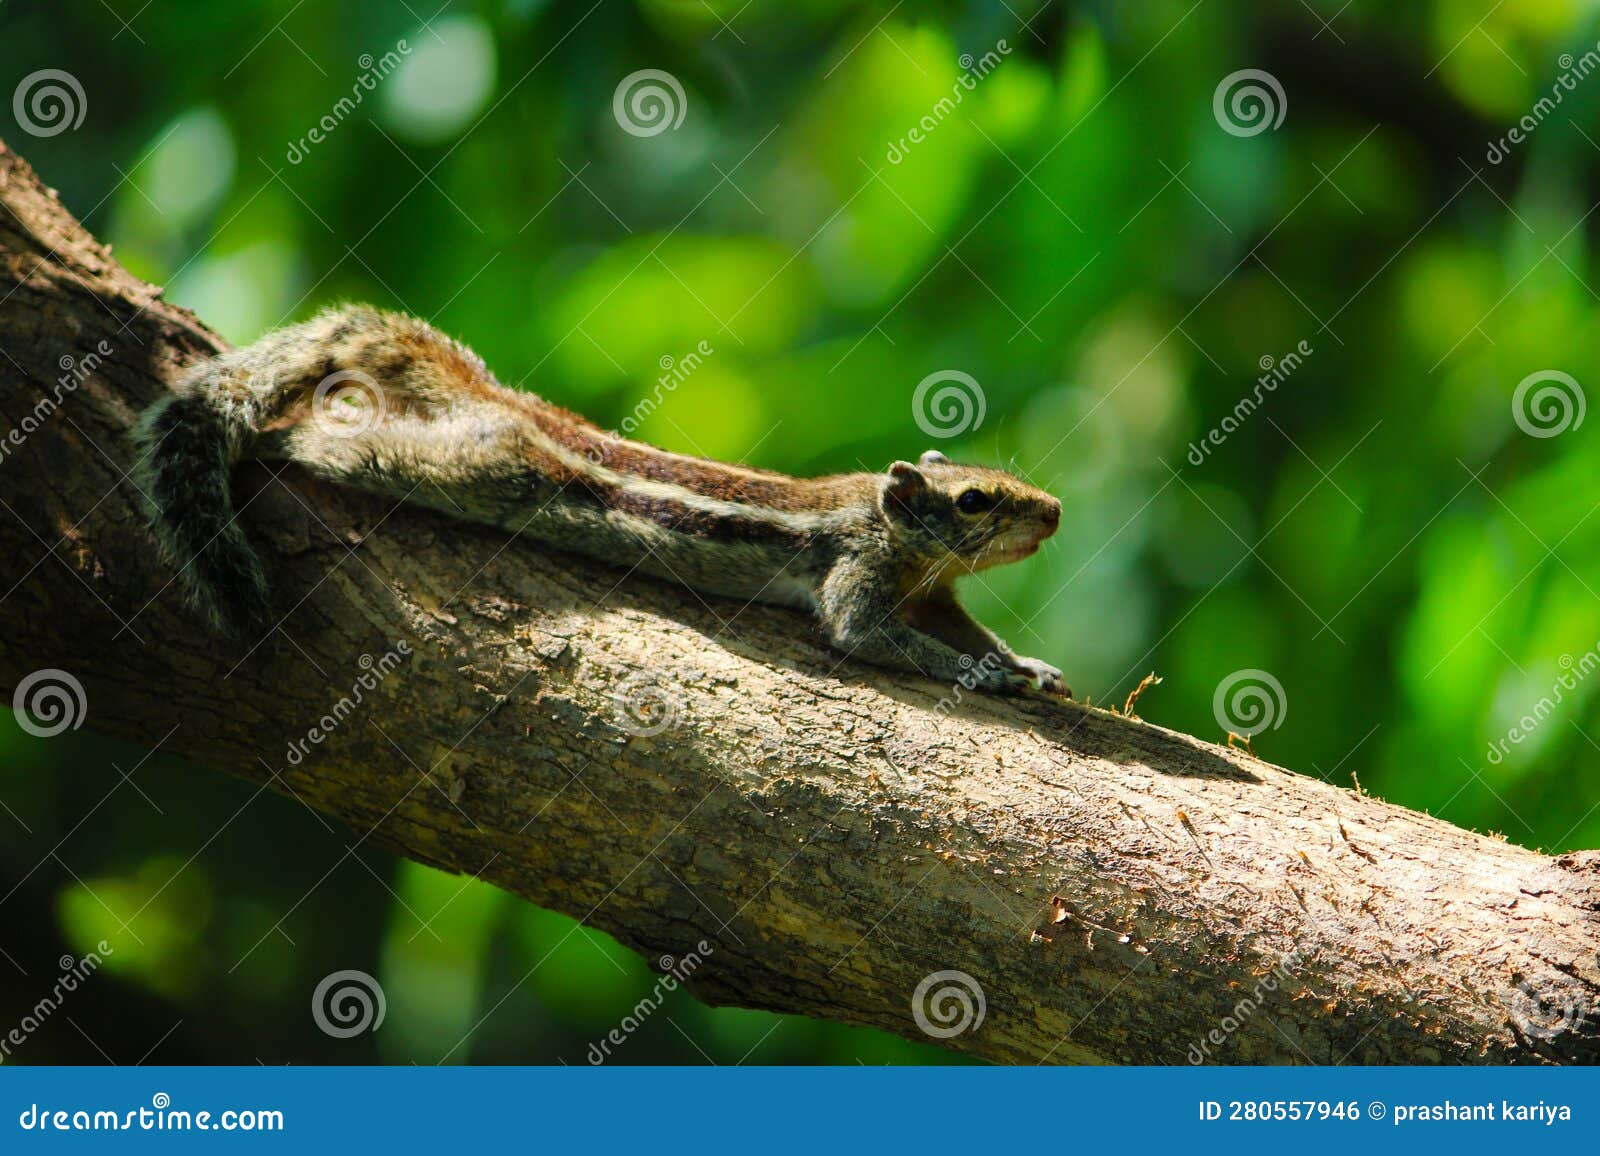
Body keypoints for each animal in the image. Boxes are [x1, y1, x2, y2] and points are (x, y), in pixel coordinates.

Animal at [131, 305, 1068, 696]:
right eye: (976, 500)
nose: (1056, 511)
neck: (890, 530)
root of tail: (494, 396)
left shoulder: (932, 592)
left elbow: (964, 629)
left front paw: (1026, 663)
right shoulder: (861, 571)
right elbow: (867, 636)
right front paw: (983, 675)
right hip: (468, 469)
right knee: (348, 443)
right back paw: (283, 440)